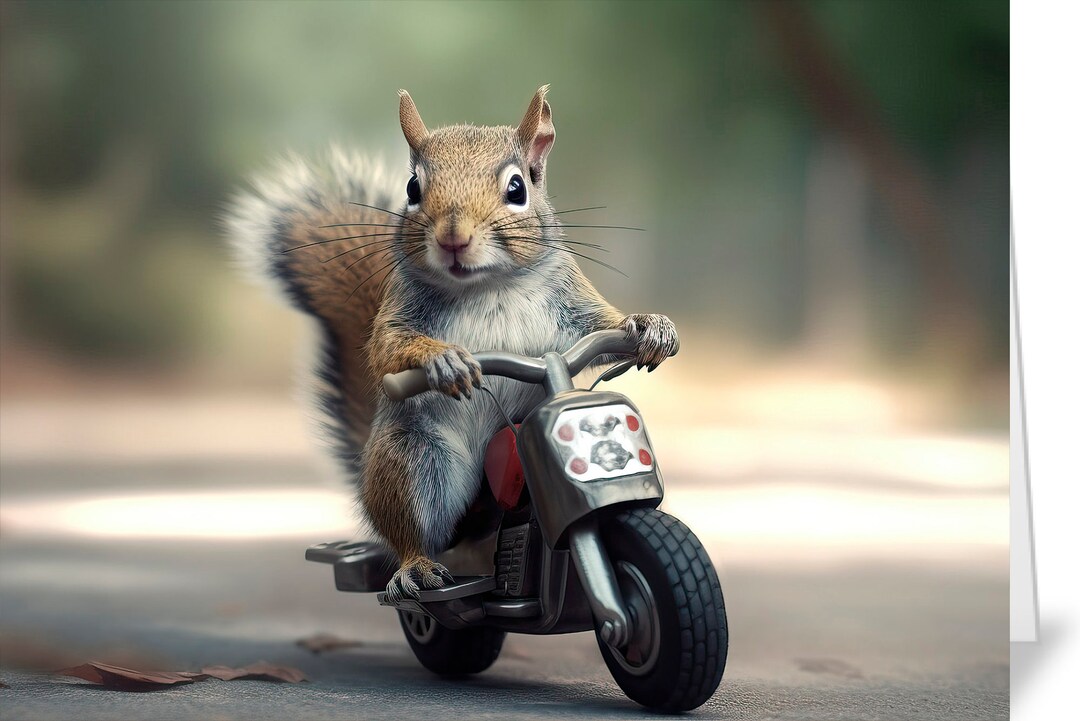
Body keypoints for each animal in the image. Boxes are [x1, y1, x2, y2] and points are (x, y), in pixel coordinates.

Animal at [226, 86, 679, 602]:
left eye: (518, 189)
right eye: (412, 188)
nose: (453, 238)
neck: (488, 286)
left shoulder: (573, 305)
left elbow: (603, 331)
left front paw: (648, 327)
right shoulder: (400, 311)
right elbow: (384, 350)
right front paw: (442, 360)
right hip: (412, 461)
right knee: (412, 535)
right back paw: (416, 568)